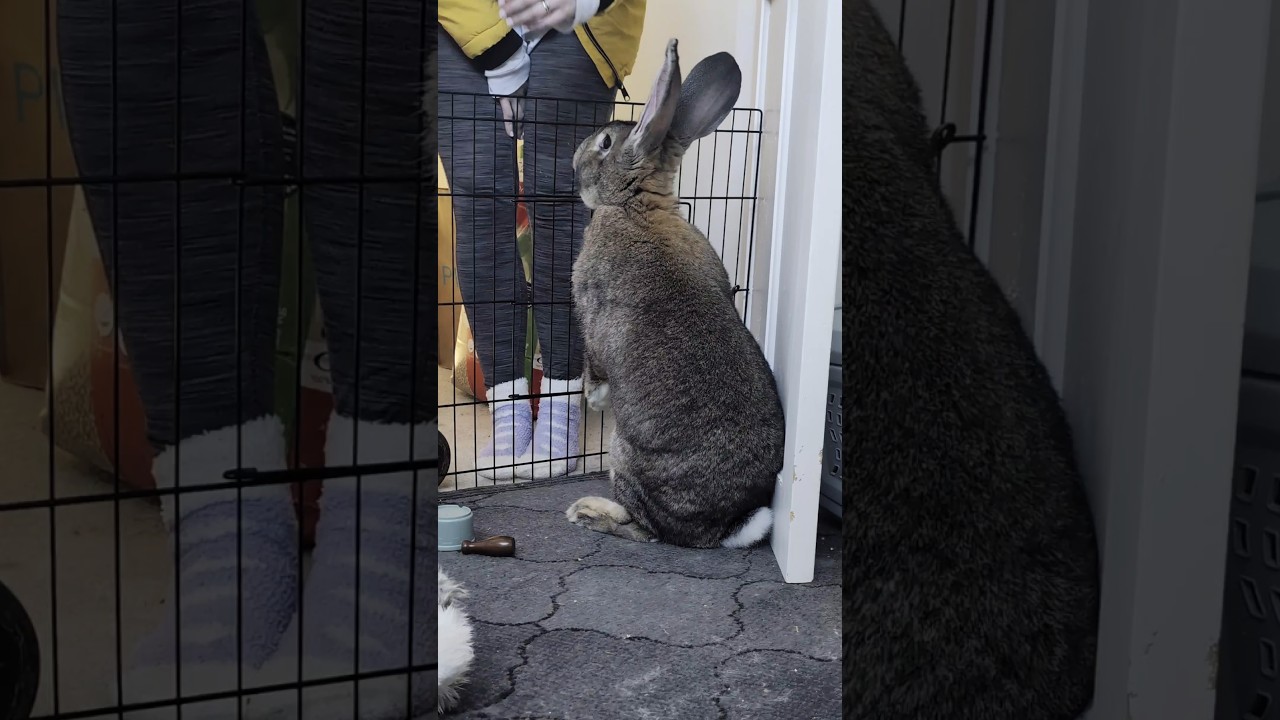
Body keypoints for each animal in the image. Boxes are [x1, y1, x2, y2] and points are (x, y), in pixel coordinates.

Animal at [563, 39, 785, 550]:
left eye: (605, 143)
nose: (573, 159)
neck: (636, 203)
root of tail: (723, 526)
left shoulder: (591, 313)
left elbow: (594, 362)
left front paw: (595, 399)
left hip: (623, 454)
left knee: (649, 533)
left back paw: (590, 513)